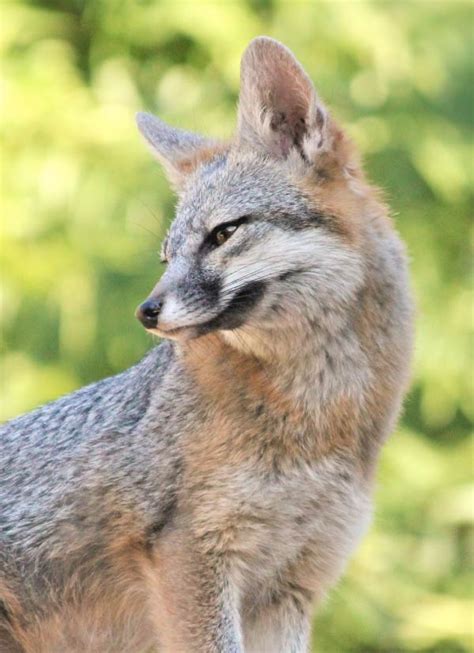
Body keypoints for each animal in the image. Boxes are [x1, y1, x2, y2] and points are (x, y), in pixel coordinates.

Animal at [0, 37, 413, 652]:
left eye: (224, 233)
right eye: (166, 257)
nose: (146, 312)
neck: (317, 419)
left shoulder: (290, 588)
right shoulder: (194, 555)